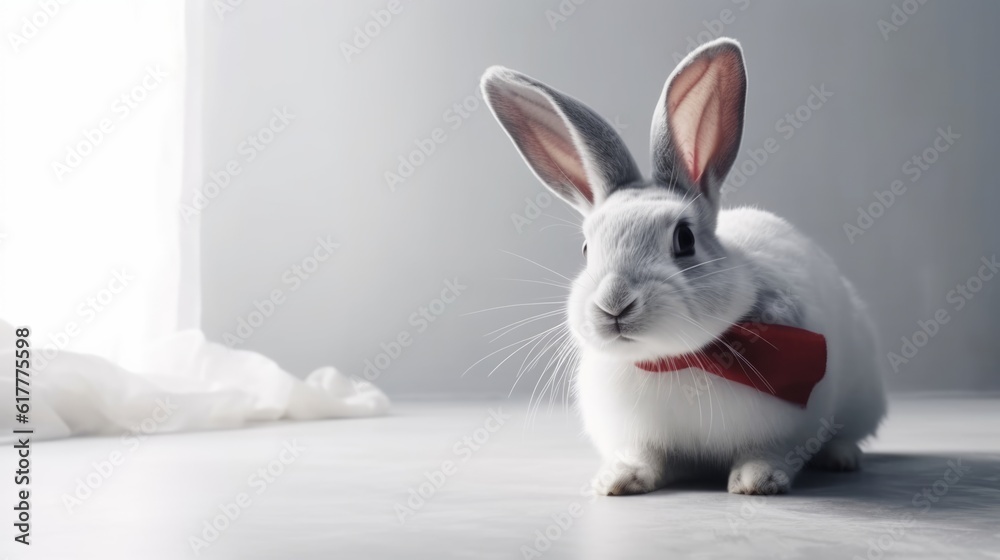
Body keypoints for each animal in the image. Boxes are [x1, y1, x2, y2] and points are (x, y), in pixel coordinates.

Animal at [480, 38, 887, 495]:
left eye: (684, 239)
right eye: (586, 248)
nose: (615, 304)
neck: (674, 360)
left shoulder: (786, 428)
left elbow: (768, 452)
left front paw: (757, 482)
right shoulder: (638, 436)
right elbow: (643, 457)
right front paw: (617, 480)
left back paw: (841, 458)